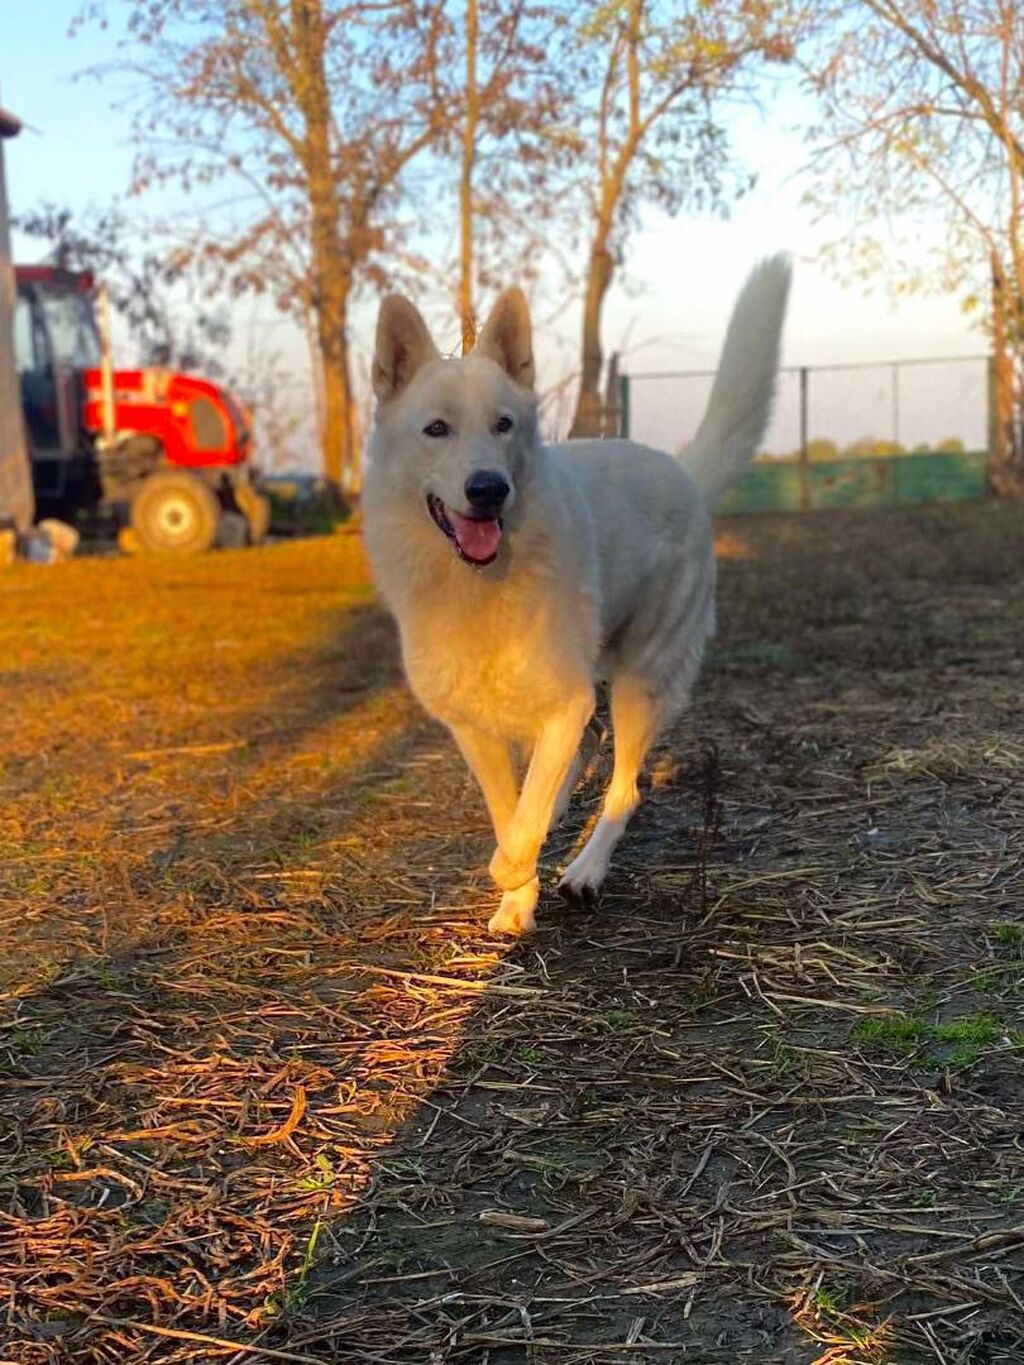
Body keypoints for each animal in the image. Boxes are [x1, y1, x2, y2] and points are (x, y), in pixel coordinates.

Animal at [363, 256, 791, 933]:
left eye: (504, 425)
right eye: (436, 429)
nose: (489, 489)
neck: (479, 586)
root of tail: (684, 472)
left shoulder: (565, 701)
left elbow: (520, 826)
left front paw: (515, 874)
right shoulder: (473, 730)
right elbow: (510, 809)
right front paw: (518, 897)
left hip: (640, 682)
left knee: (625, 787)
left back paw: (586, 869)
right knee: (583, 754)